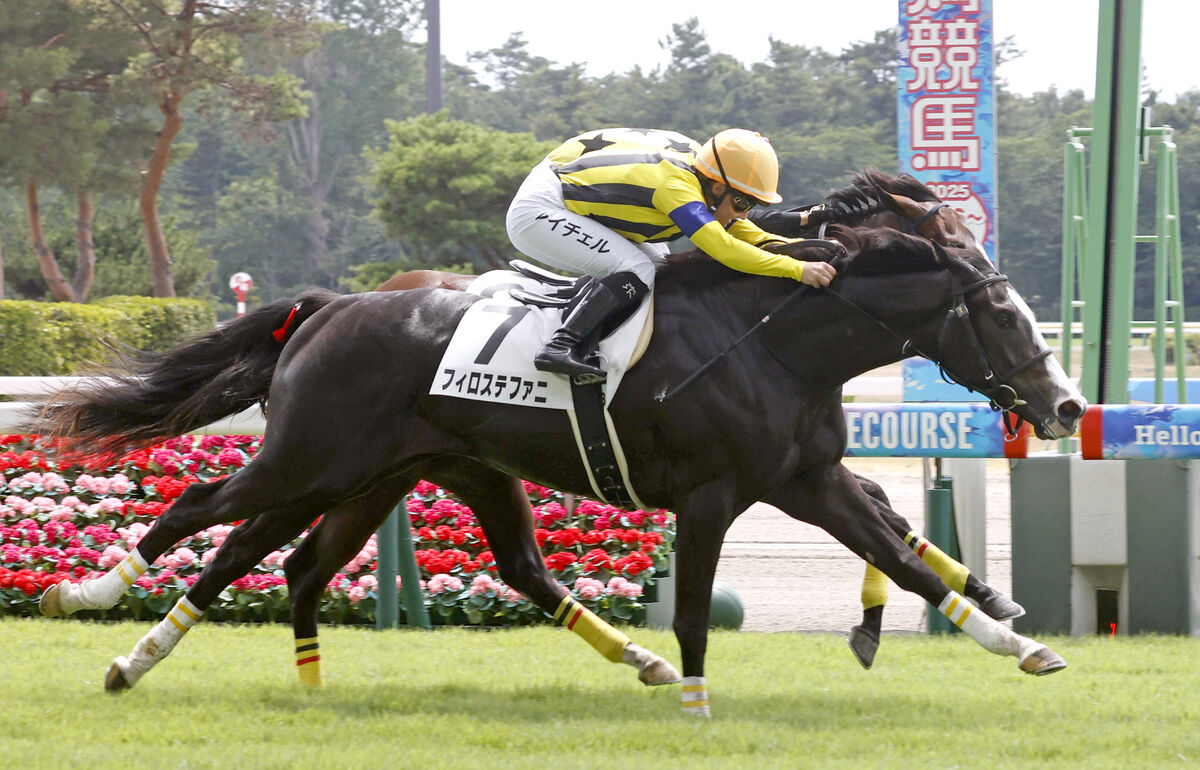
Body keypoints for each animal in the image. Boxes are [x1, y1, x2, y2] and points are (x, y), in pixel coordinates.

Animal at [32, 222, 1085, 717]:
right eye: (1001, 315)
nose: (1068, 406)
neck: (770, 341)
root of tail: (332, 307)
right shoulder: (712, 495)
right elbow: (695, 607)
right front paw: (699, 700)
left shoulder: (807, 481)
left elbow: (902, 555)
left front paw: (1019, 641)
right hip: (310, 458)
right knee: (203, 507)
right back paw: (97, 609)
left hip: (404, 470)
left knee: (322, 561)